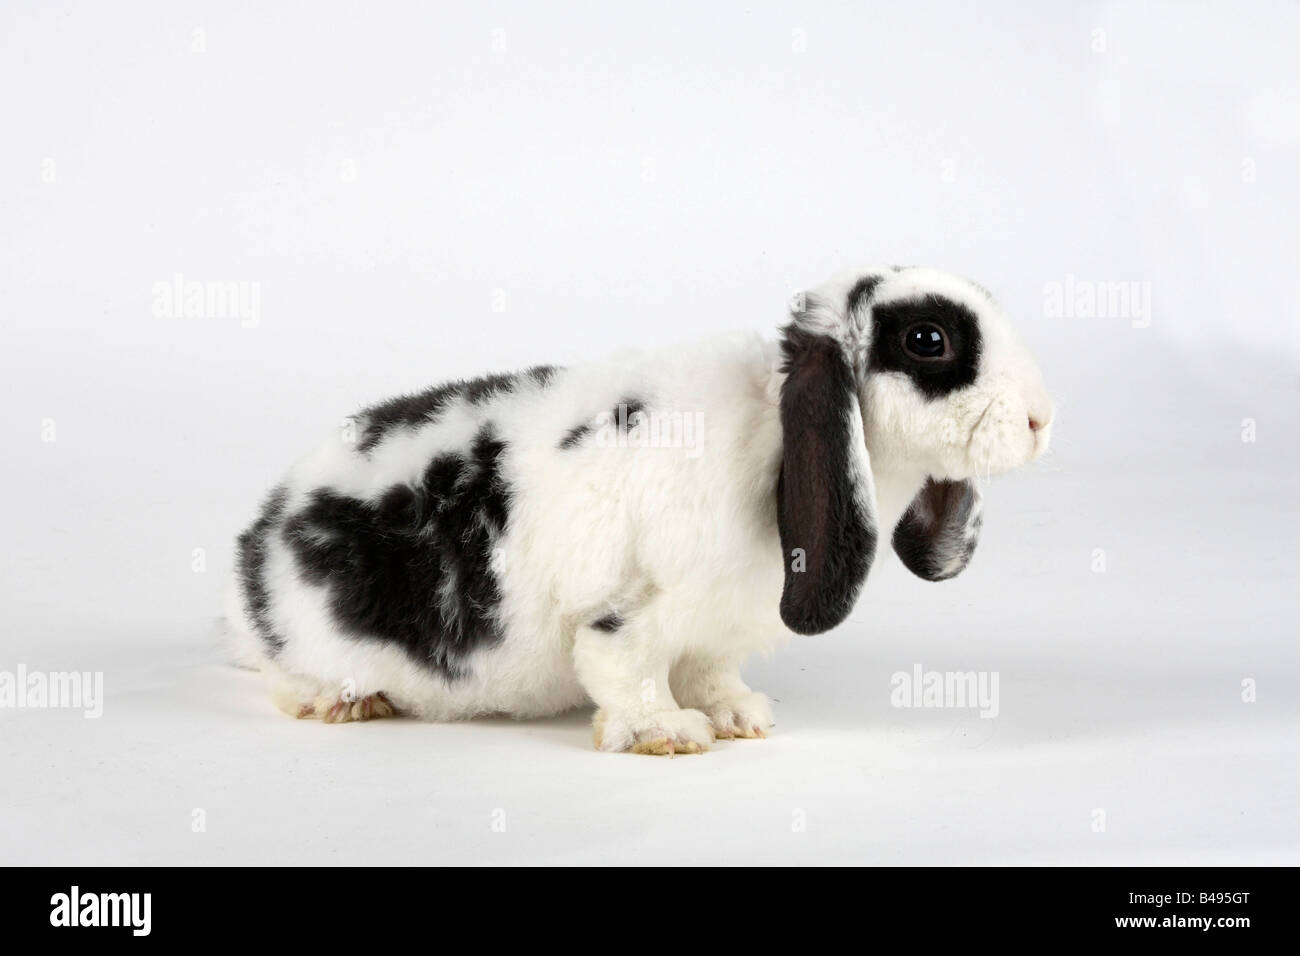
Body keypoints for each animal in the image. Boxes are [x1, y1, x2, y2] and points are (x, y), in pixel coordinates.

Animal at [226, 265, 1053, 754]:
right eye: (928, 339)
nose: (1043, 420)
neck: (770, 434)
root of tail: (253, 551)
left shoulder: (716, 628)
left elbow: (712, 670)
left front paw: (737, 716)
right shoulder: (625, 607)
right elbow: (624, 666)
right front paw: (669, 733)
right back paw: (343, 706)